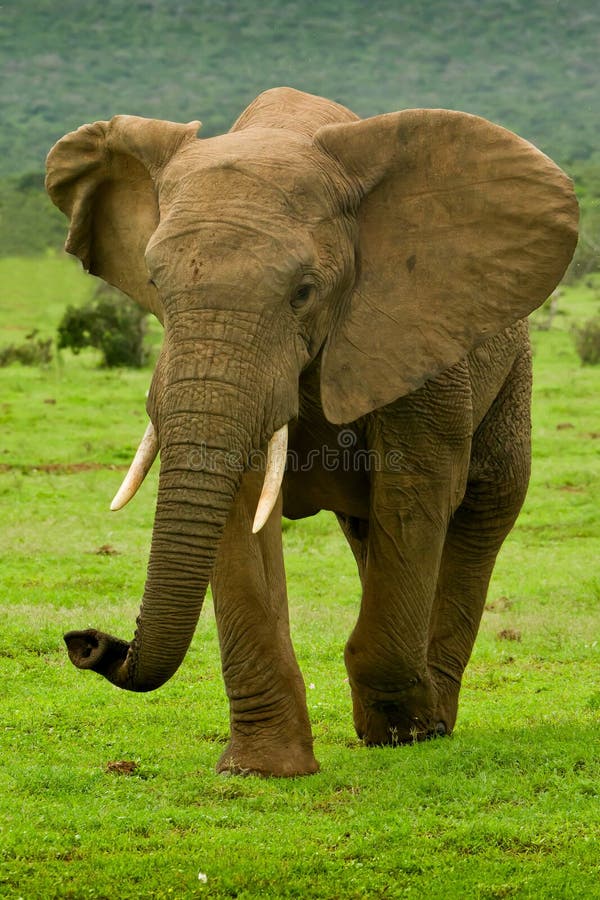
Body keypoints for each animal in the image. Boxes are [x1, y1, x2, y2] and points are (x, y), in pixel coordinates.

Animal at [46, 87, 577, 777]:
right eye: (156, 284)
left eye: (303, 292)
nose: (87, 641)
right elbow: (241, 510)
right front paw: (263, 770)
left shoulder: (412, 333)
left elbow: (418, 489)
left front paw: (406, 730)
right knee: (367, 531)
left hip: (512, 372)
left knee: (482, 511)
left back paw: (432, 717)